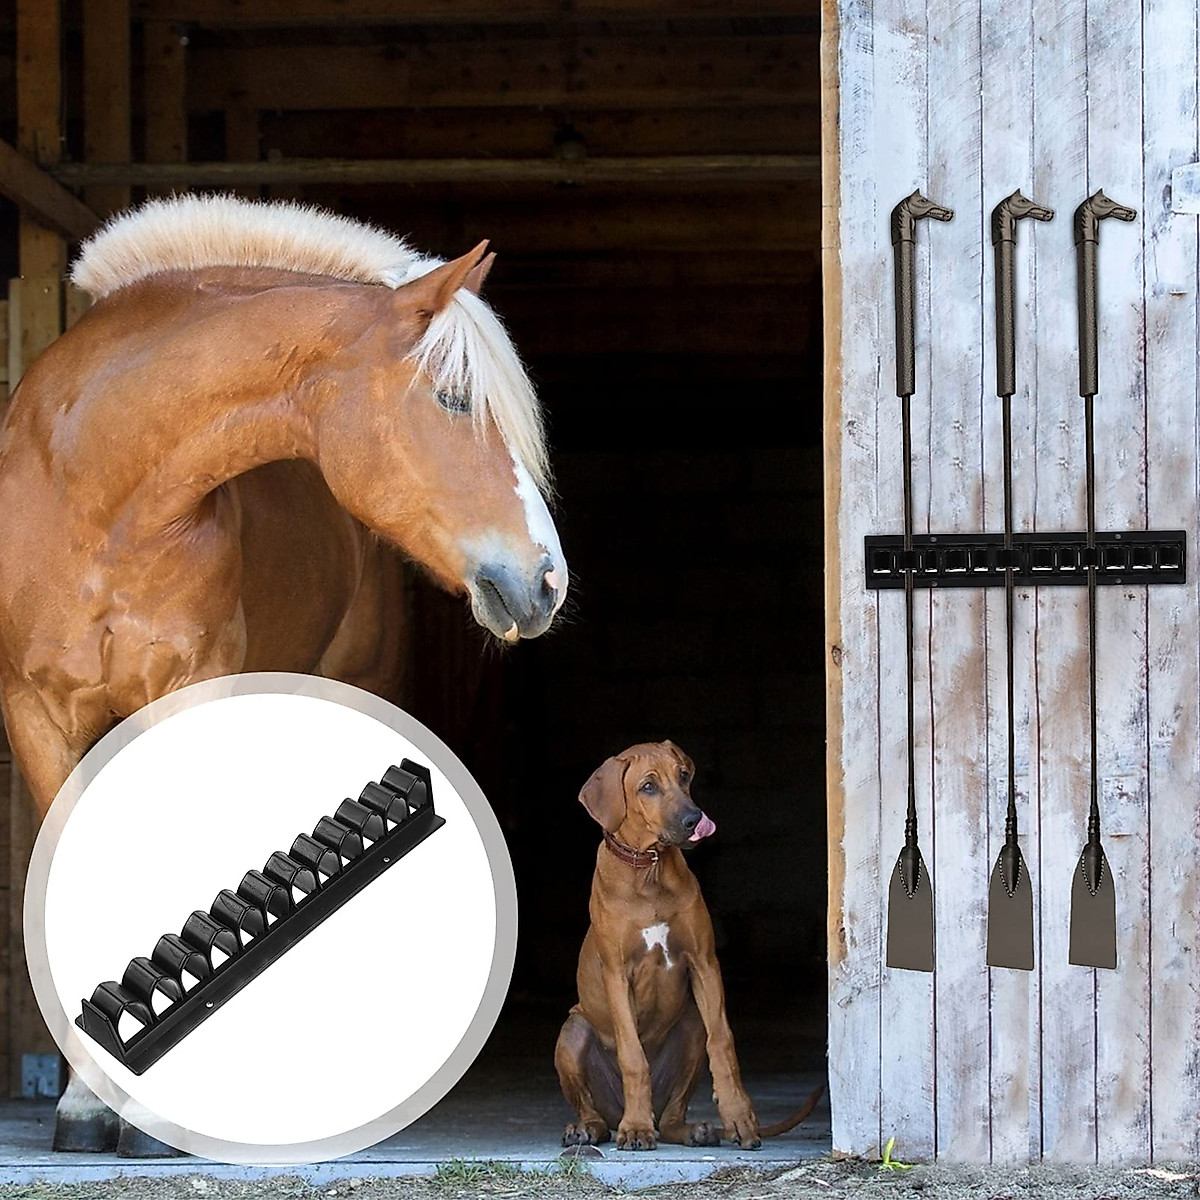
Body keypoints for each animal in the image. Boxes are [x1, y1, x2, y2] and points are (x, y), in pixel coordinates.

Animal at [0, 194, 567, 1152]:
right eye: (453, 399)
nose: (547, 581)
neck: (94, 492)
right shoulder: (36, 715)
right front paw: (85, 1105)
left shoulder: (186, 693)